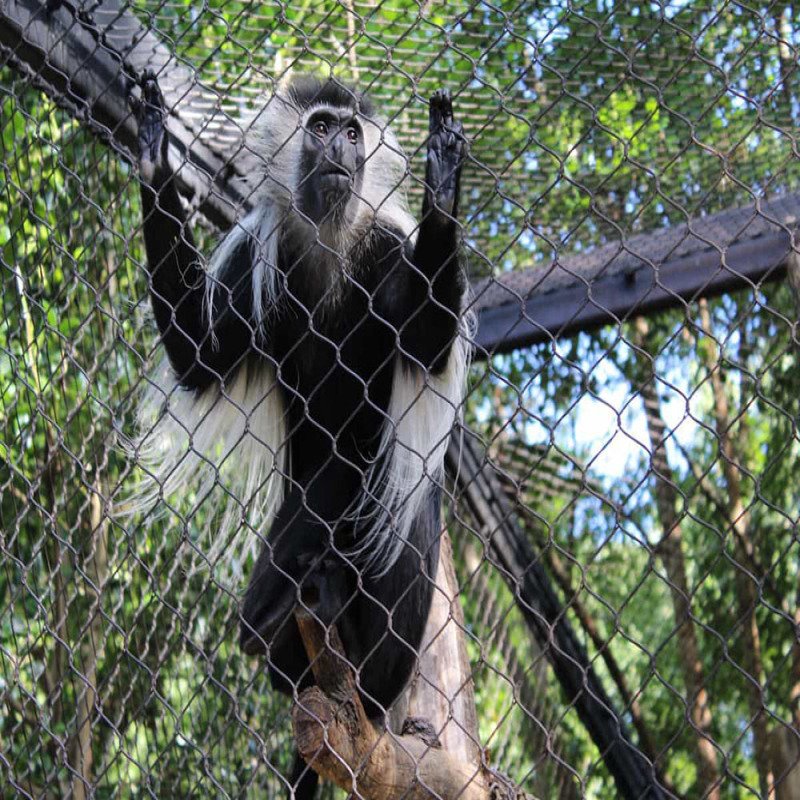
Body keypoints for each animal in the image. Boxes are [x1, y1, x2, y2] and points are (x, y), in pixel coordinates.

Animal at [128, 70, 470, 798]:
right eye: (320, 127)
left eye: (353, 132)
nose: (341, 149)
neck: (329, 243)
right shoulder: (258, 247)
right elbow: (199, 359)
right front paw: (152, 145)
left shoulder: (389, 248)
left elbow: (425, 345)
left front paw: (444, 180)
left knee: (398, 507)